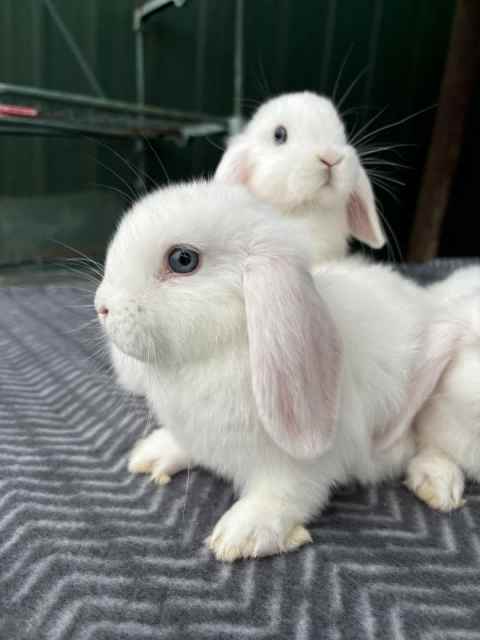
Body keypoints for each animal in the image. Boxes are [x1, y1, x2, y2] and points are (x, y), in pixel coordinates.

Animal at [94, 180, 461, 562]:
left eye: (183, 260)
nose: (101, 307)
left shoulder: (301, 469)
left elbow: (286, 495)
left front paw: (243, 534)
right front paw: (153, 454)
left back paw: (439, 486)